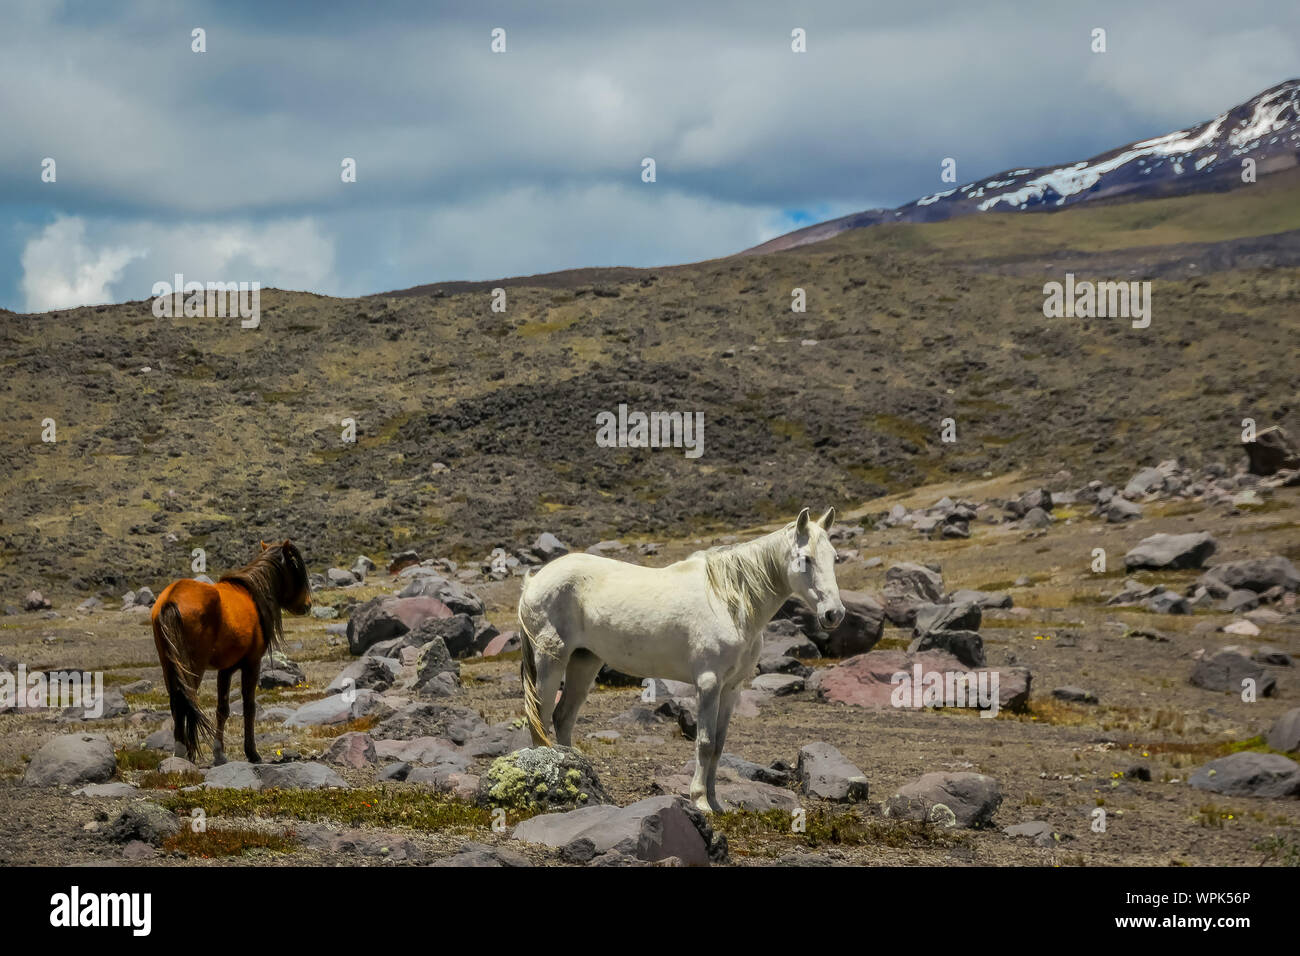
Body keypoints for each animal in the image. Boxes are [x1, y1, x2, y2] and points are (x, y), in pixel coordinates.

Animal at [151, 540, 312, 764]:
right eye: (296, 567)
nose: (308, 605)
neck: (254, 594)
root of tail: (171, 599)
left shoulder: (225, 669)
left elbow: (223, 709)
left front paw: (220, 753)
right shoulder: (252, 663)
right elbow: (249, 707)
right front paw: (252, 753)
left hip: (169, 666)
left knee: (177, 704)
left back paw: (181, 754)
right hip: (194, 667)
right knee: (186, 702)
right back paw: (187, 754)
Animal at [518, 507, 844, 813]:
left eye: (834, 557)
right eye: (805, 559)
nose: (834, 614)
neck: (729, 601)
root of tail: (534, 581)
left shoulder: (731, 688)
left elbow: (719, 745)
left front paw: (715, 801)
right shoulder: (708, 684)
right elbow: (705, 743)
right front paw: (700, 800)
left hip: (585, 662)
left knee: (563, 717)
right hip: (551, 660)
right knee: (541, 717)